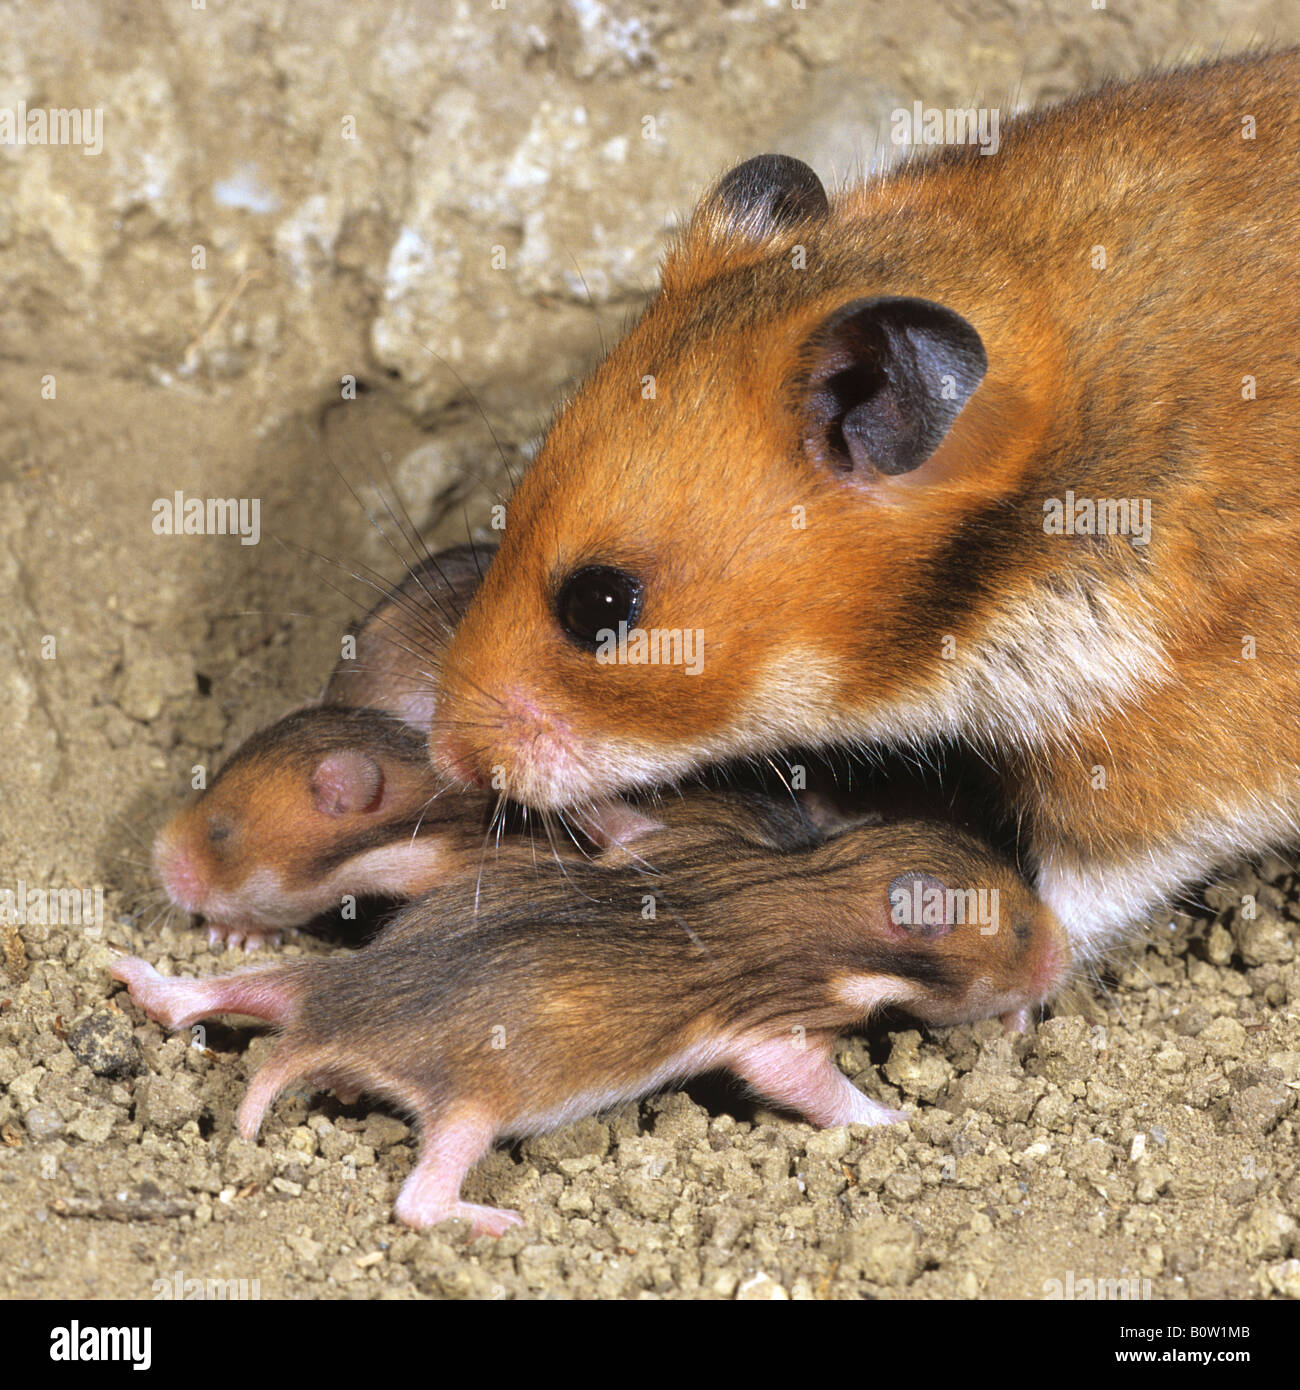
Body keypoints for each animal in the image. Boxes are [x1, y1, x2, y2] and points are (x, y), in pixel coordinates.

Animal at [114, 809, 1068, 1235]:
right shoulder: (778, 1037)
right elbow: (825, 1093)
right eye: (1020, 930)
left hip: (315, 974)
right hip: (474, 1106)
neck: (818, 879)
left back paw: (145, 980)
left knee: (239, 990)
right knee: (420, 1201)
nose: (1063, 960)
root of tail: (332, 1028)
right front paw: (900, 1118)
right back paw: (502, 1223)